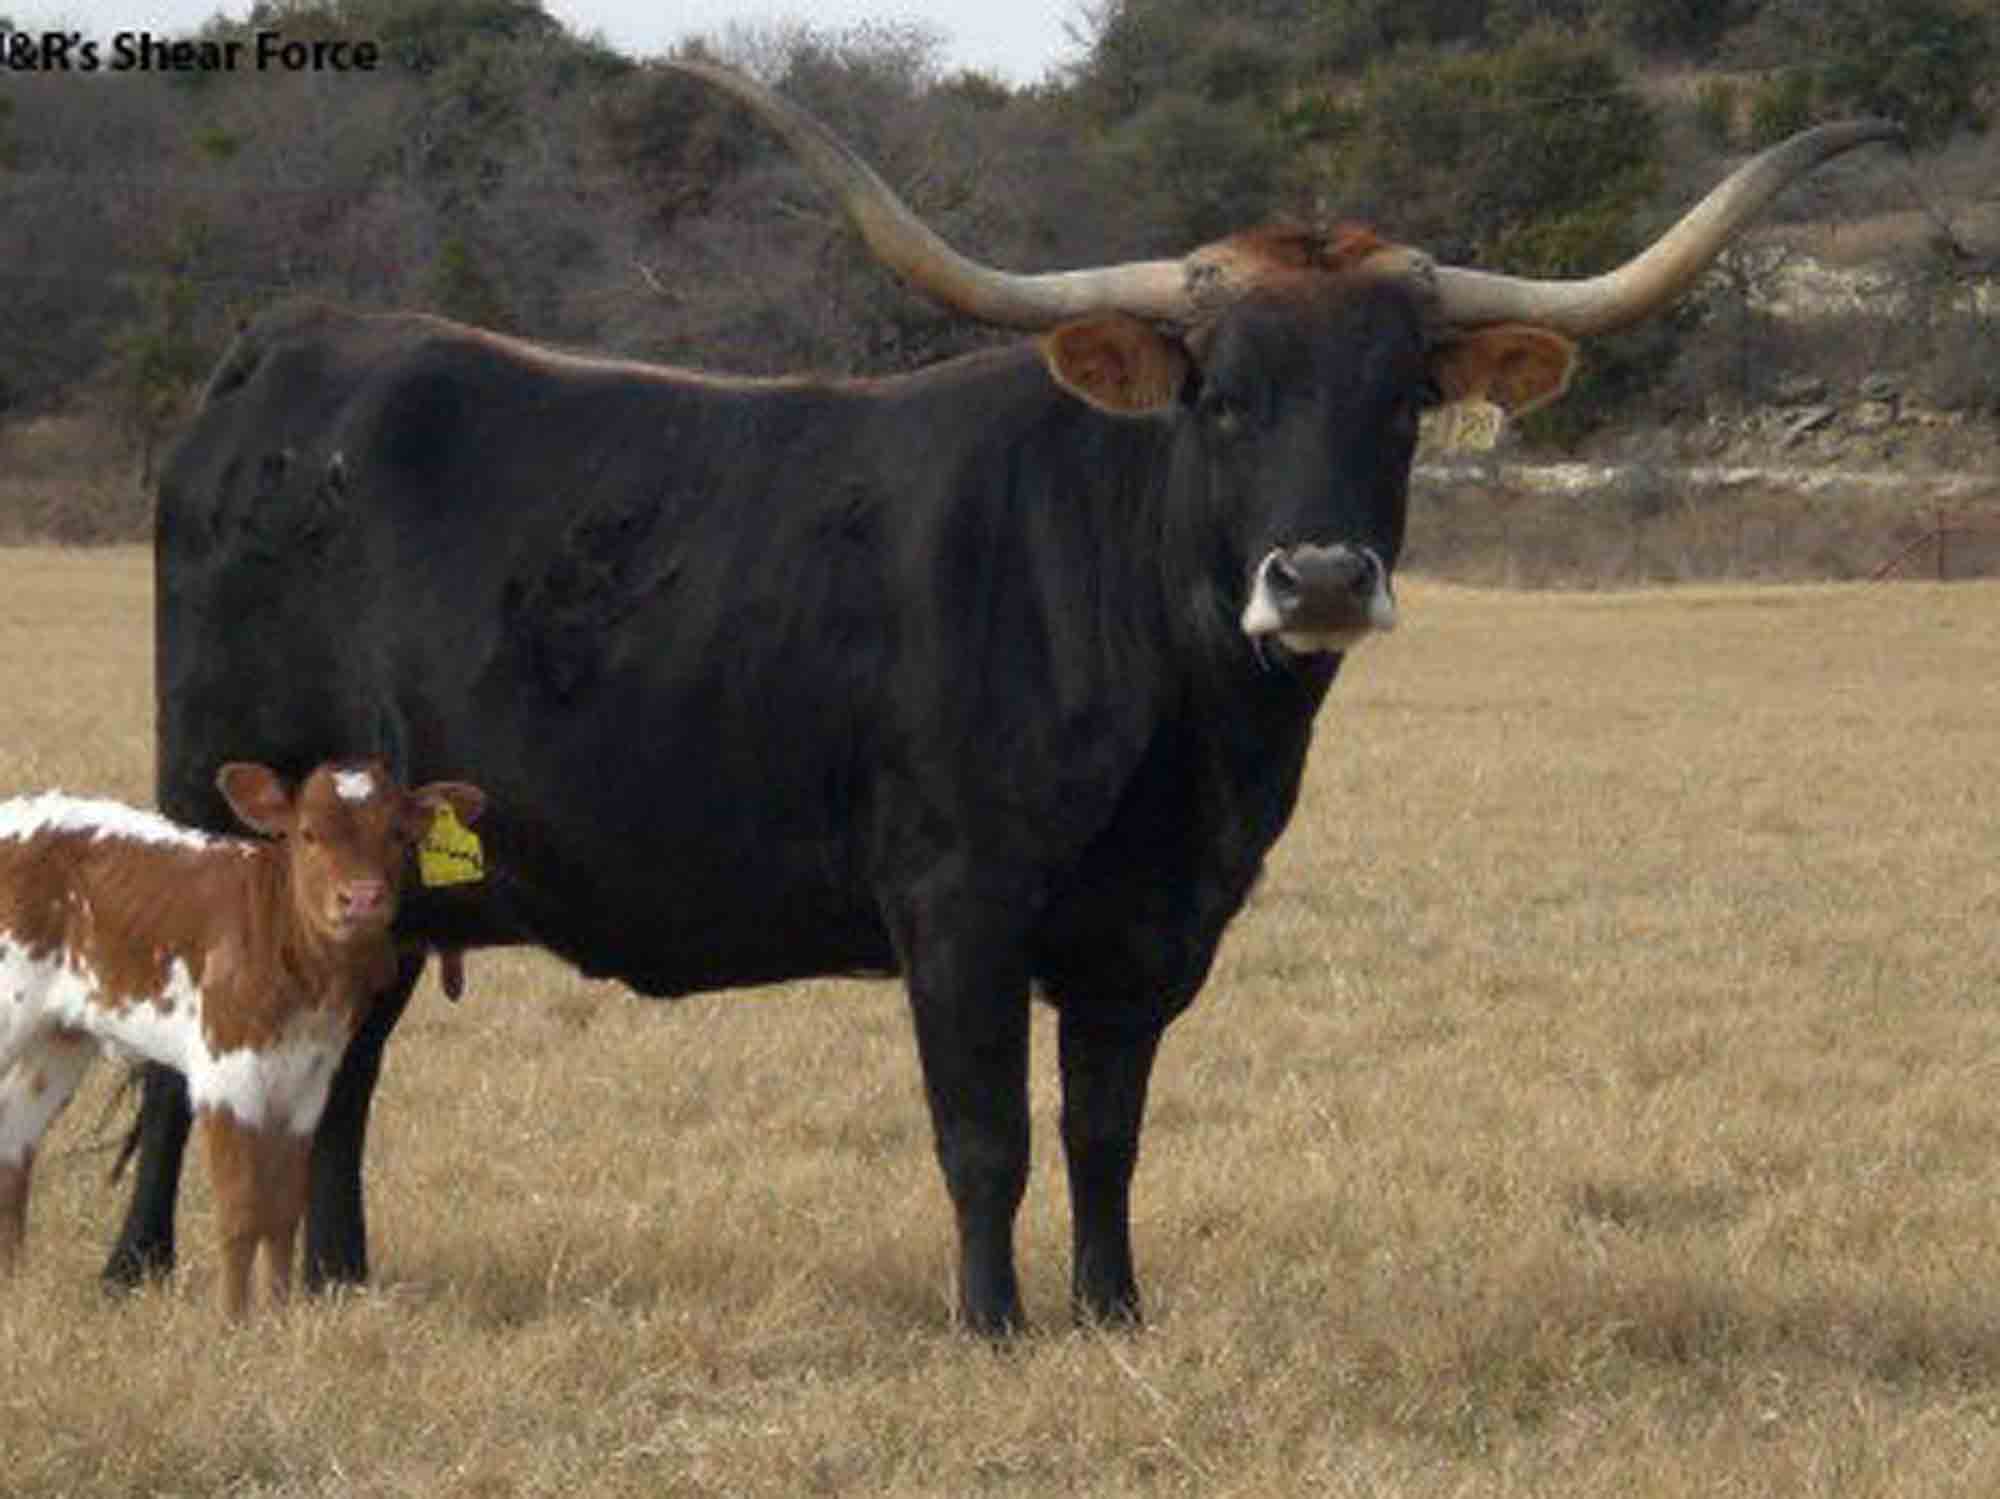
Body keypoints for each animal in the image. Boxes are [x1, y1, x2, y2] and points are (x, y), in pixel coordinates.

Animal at [0, 760, 484, 1318]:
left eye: (398, 834)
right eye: (308, 834)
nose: (362, 898)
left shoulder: (308, 1080)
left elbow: (283, 1206)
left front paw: (278, 1312)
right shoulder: (226, 1071)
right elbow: (241, 1205)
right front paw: (233, 1319)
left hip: (58, 1035)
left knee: (13, 1135)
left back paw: (12, 1285)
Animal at [109, 62, 1899, 1333]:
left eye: (1400, 402)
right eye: (1222, 398)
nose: (1320, 577)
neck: (1186, 732)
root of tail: (284, 353)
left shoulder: (1153, 930)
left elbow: (1105, 1130)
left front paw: (1113, 1312)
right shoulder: (955, 904)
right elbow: (988, 1130)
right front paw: (993, 1322)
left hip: (380, 872)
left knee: (344, 1067)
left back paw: (342, 1283)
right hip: (221, 808)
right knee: (188, 1050)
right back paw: (143, 1273)